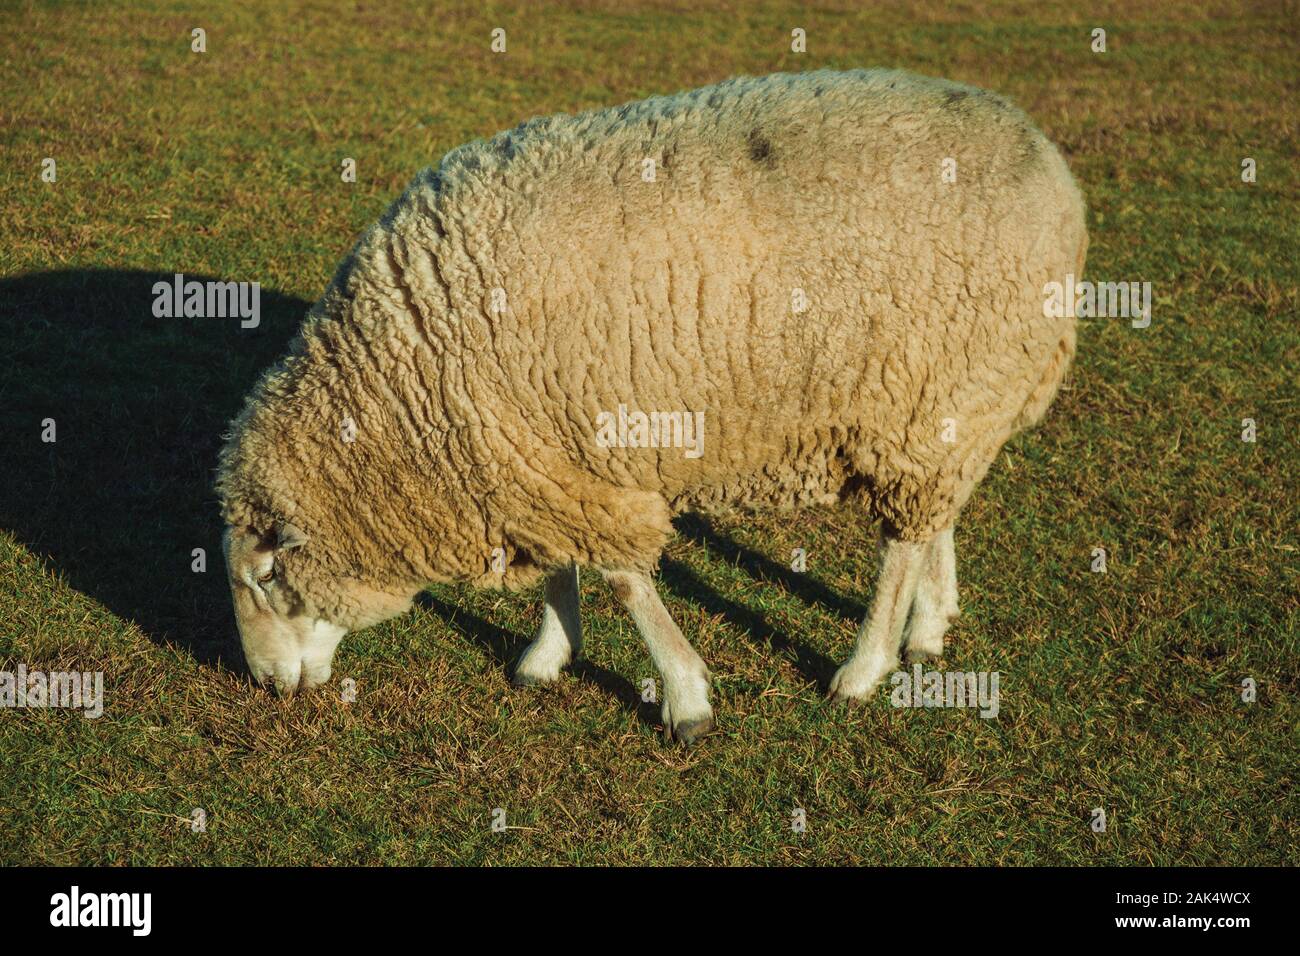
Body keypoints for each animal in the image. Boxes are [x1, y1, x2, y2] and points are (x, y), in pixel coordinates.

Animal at [216, 67, 1087, 745]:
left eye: (264, 578)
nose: (265, 684)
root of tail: (1050, 164)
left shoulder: (573, 458)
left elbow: (627, 582)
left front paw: (684, 696)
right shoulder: (537, 453)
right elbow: (563, 564)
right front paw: (547, 655)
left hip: (930, 384)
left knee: (902, 543)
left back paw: (864, 667)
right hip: (948, 401)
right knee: (936, 511)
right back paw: (929, 626)